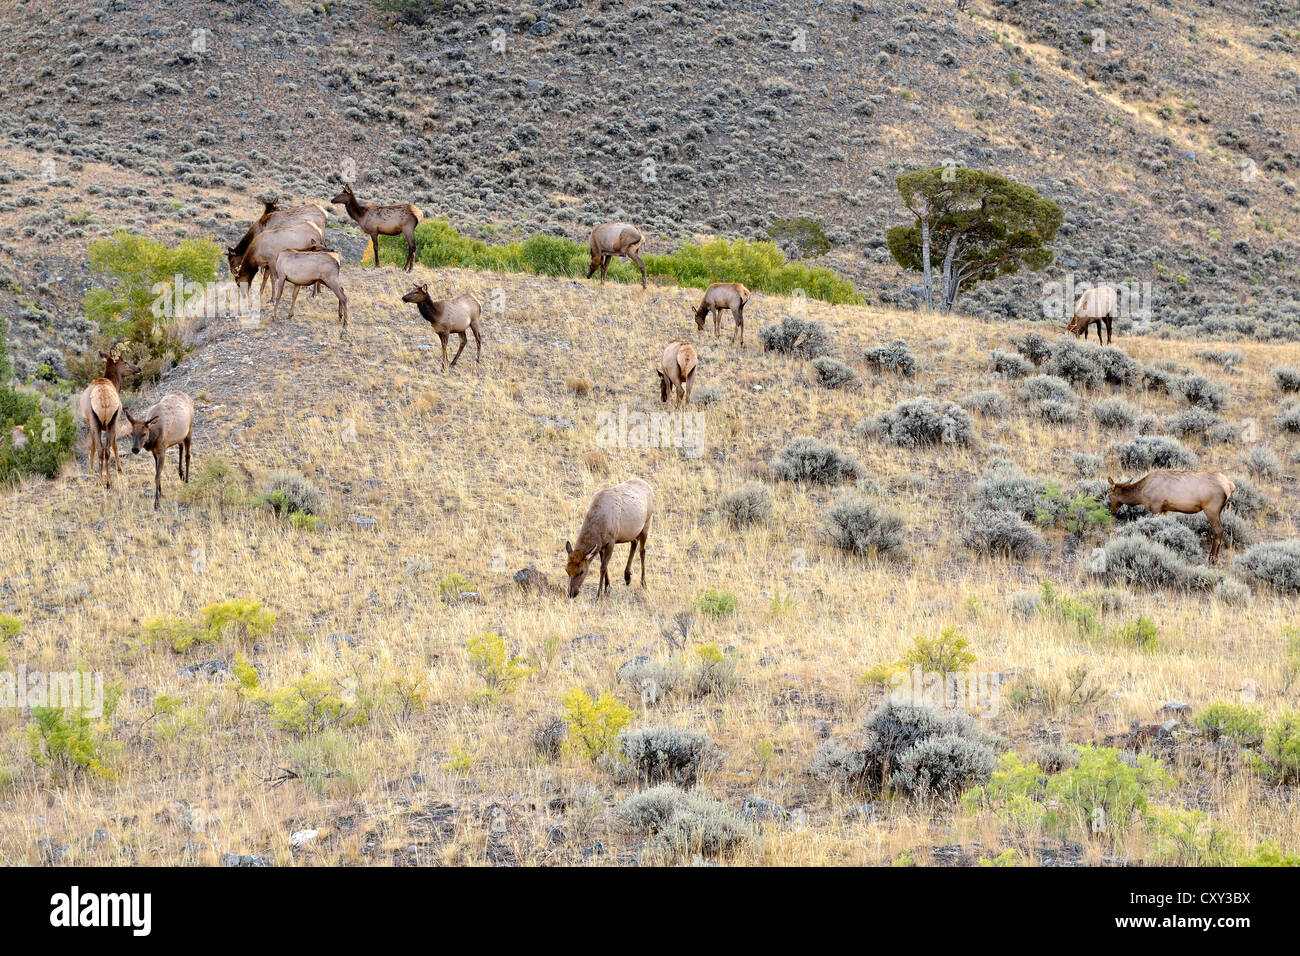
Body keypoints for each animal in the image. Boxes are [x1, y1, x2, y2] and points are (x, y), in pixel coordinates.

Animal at [76, 349, 139, 489]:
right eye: (125, 361)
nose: (138, 368)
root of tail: (104, 401)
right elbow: (112, 445)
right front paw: (119, 468)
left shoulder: (93, 424)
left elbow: (95, 446)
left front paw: (90, 469)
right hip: (111, 422)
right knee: (106, 449)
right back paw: (108, 481)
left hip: (98, 423)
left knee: (102, 449)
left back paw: (101, 481)